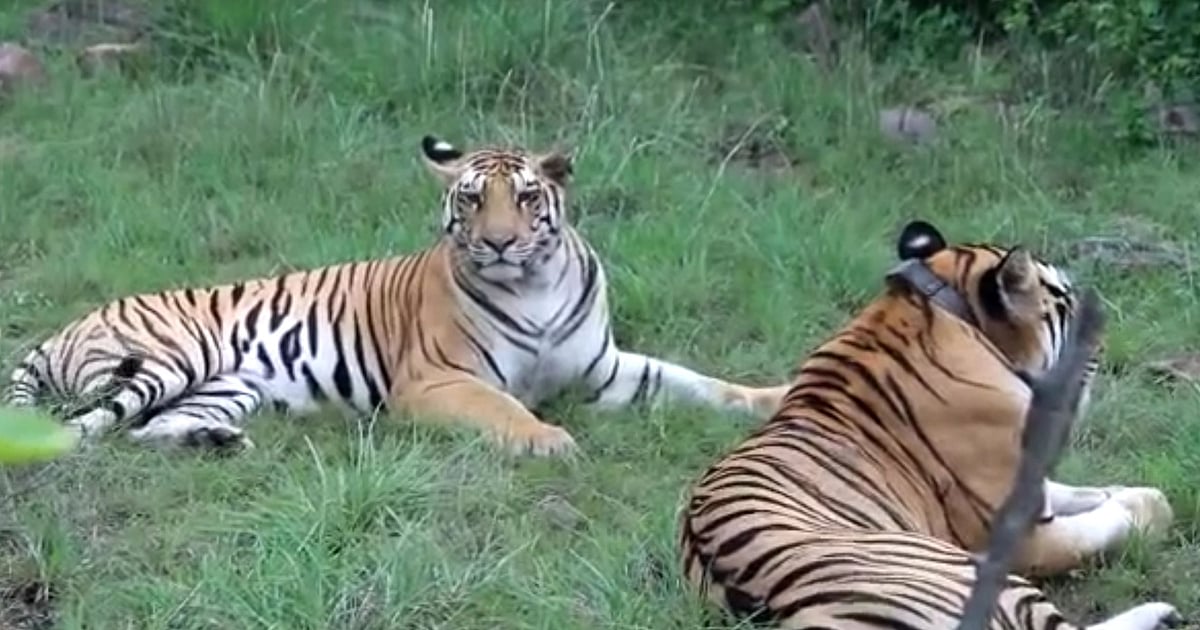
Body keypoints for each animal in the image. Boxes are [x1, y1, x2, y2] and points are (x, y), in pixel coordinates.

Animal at [3, 135, 790, 456]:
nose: (498, 242)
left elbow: (699, 383)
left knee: (147, 430)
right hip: (159, 365)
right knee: (93, 424)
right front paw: (550, 440)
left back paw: (214, 442)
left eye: (525, 197)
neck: (533, 283)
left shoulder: (605, 370)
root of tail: (63, 328)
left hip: (228, 387)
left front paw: (774, 398)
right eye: (471, 199)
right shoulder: (436, 381)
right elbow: (505, 409)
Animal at [677, 220, 1180, 630]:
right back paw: (1162, 612)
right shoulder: (1018, 535)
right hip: (977, 573)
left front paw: (1127, 493)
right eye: (1067, 301)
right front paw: (1139, 507)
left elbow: (1081, 493)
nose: (1103, 340)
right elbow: (1097, 526)